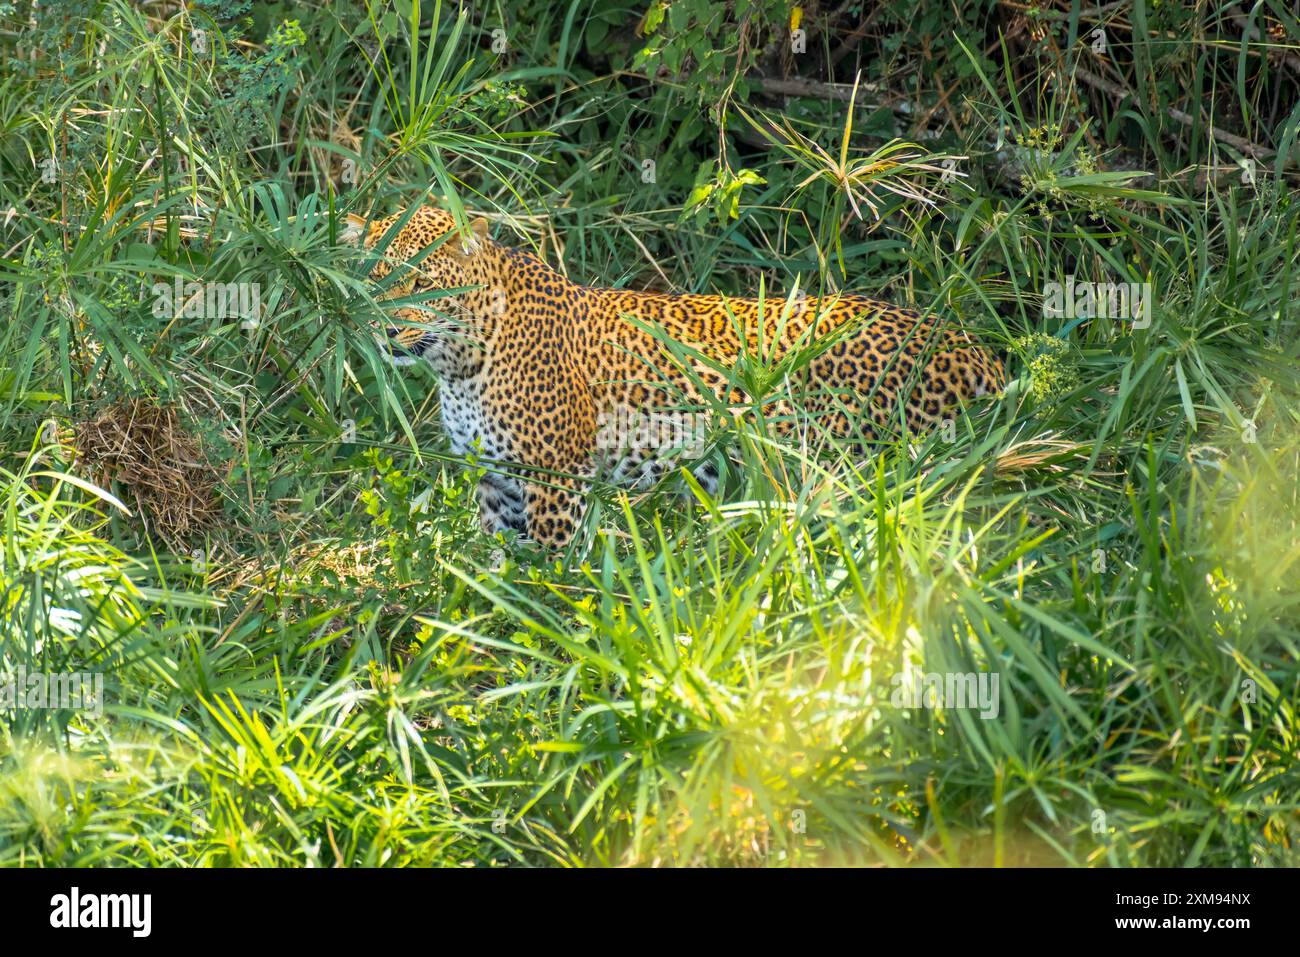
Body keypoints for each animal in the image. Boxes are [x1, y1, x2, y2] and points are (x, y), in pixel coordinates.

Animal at [344, 203, 1004, 549]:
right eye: (372, 279)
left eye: (422, 284)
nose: (383, 330)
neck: (457, 365)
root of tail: (975, 350)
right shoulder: (495, 480)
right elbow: (496, 570)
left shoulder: (556, 480)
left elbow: (549, 568)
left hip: (839, 461)